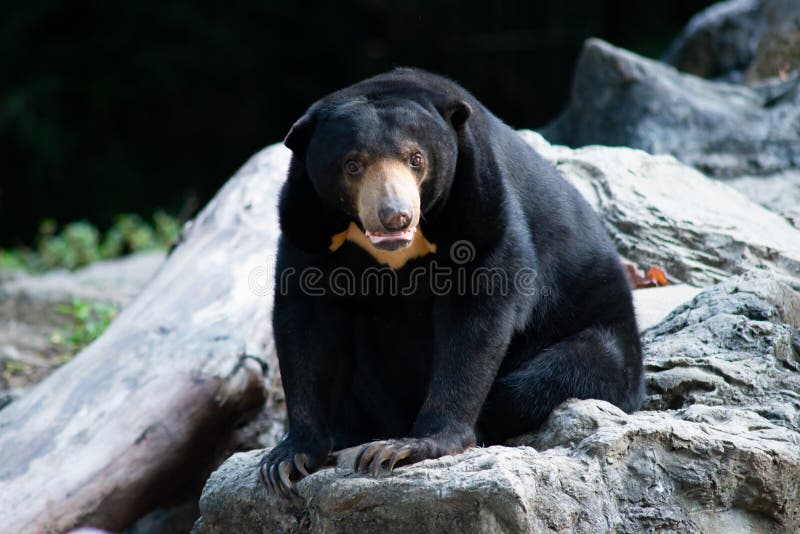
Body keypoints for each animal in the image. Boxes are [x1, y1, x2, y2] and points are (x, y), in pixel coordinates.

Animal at [259, 68, 643, 496]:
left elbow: (476, 317)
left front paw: (405, 448)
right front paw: (287, 459)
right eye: (353, 165)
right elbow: (308, 321)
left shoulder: (482, 207)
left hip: (598, 336)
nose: (395, 216)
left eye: (416, 159)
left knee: (554, 375)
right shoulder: (306, 224)